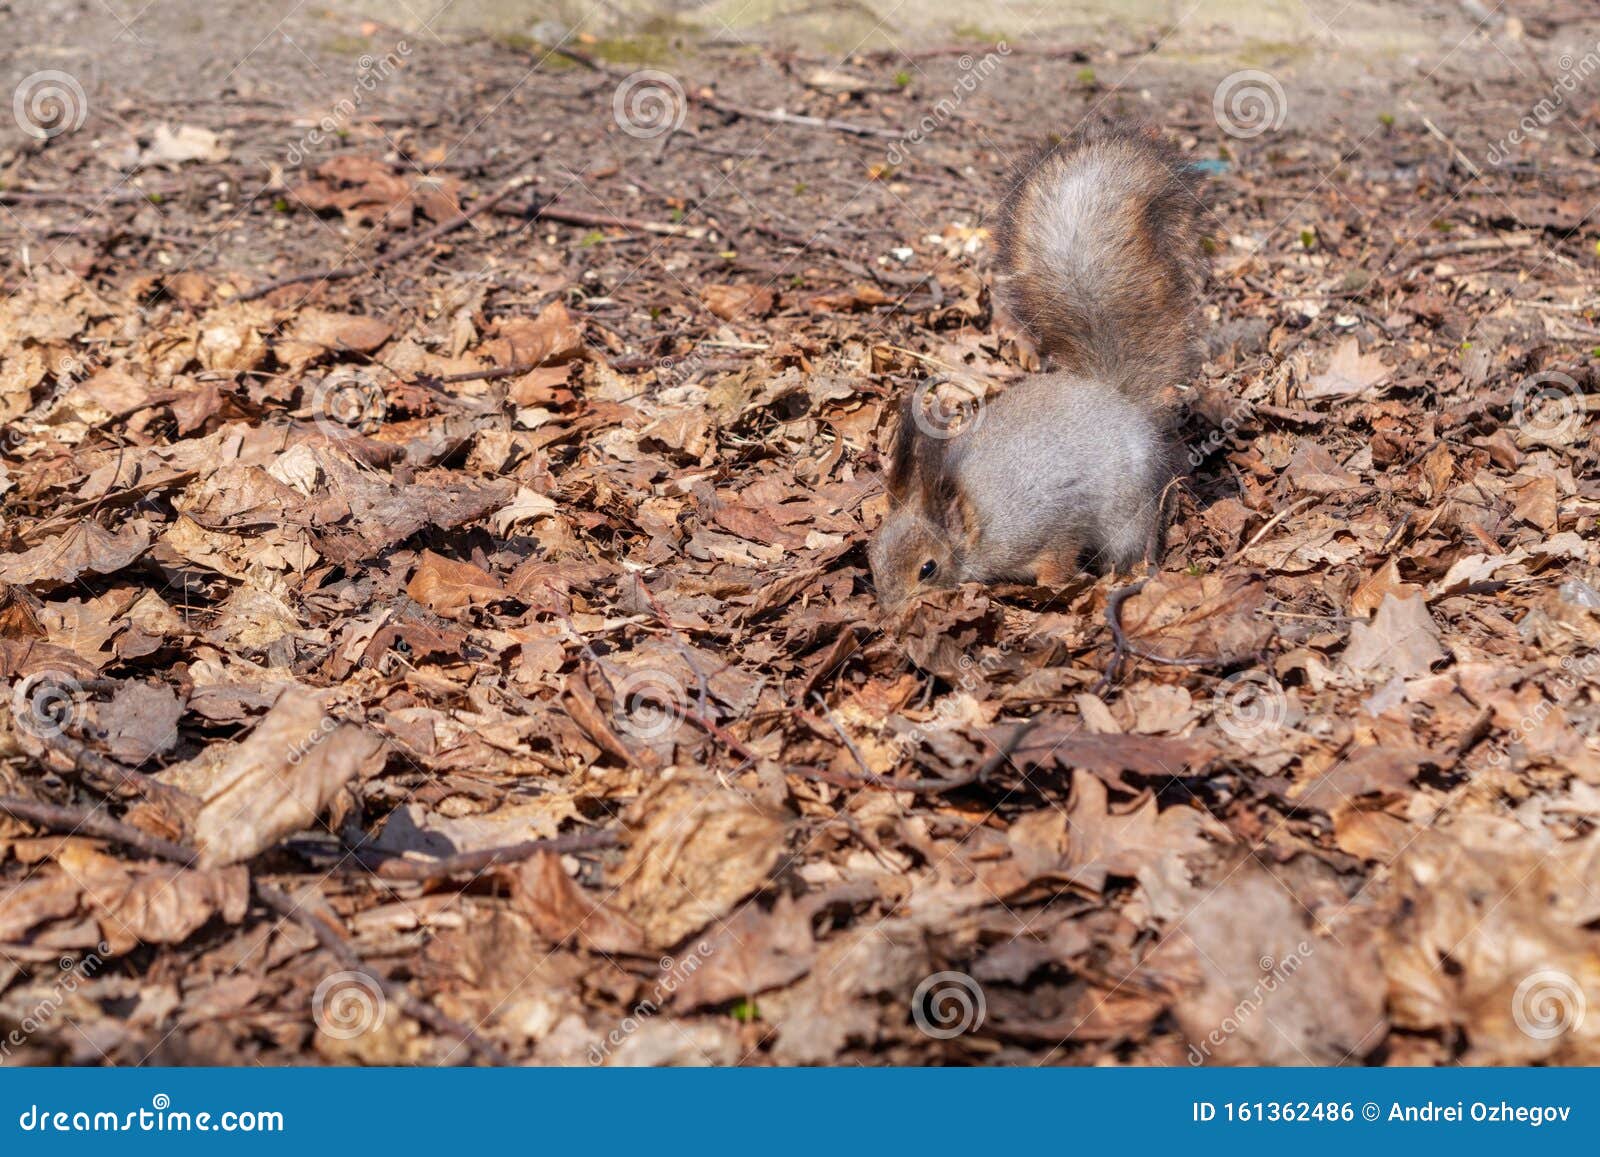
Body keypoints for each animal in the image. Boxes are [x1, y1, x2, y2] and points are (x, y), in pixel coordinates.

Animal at [868, 122, 1209, 610]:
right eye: (872, 557)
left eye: (927, 569)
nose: (888, 617)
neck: (975, 517)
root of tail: (1114, 396)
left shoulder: (1048, 530)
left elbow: (1057, 561)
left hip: (1128, 507)